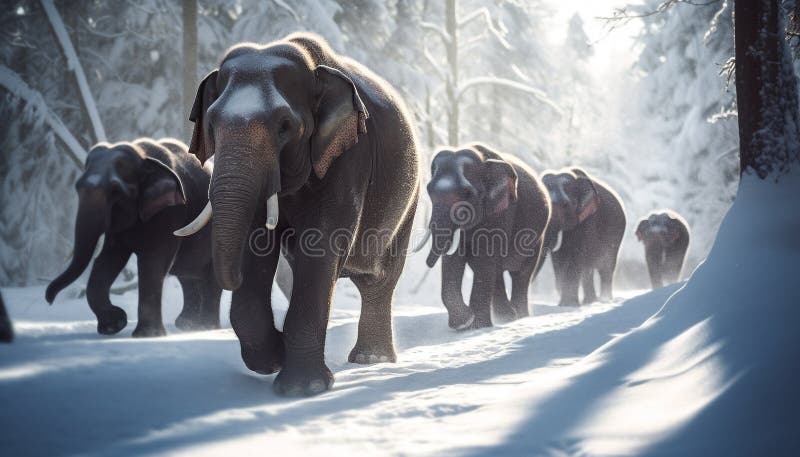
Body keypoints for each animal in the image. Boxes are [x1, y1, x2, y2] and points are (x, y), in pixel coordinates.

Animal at [45, 138, 221, 337]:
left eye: (115, 191)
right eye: (77, 187)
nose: (49, 300)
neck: (142, 156)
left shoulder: (170, 212)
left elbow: (153, 262)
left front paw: (147, 335)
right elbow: (107, 260)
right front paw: (114, 325)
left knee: (210, 279)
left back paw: (205, 327)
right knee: (188, 277)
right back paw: (187, 325)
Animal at [174, 33, 419, 396]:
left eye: (285, 126)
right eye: (212, 124)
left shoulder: (348, 158)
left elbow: (320, 247)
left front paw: (303, 388)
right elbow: (256, 246)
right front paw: (273, 358)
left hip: (408, 203)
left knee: (380, 280)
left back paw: (370, 361)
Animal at [417, 144, 550, 330]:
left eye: (466, 193)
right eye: (429, 190)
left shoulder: (500, 212)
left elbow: (484, 258)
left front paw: (475, 326)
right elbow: (453, 259)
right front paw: (463, 324)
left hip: (538, 236)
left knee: (521, 274)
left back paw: (518, 317)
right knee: (497, 272)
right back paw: (507, 317)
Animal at [541, 168, 626, 306]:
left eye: (565, 205)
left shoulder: (589, 218)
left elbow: (576, 254)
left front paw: (569, 304)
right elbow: (559, 258)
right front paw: (564, 303)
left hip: (616, 236)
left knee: (606, 268)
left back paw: (604, 300)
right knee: (588, 269)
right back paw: (590, 301)